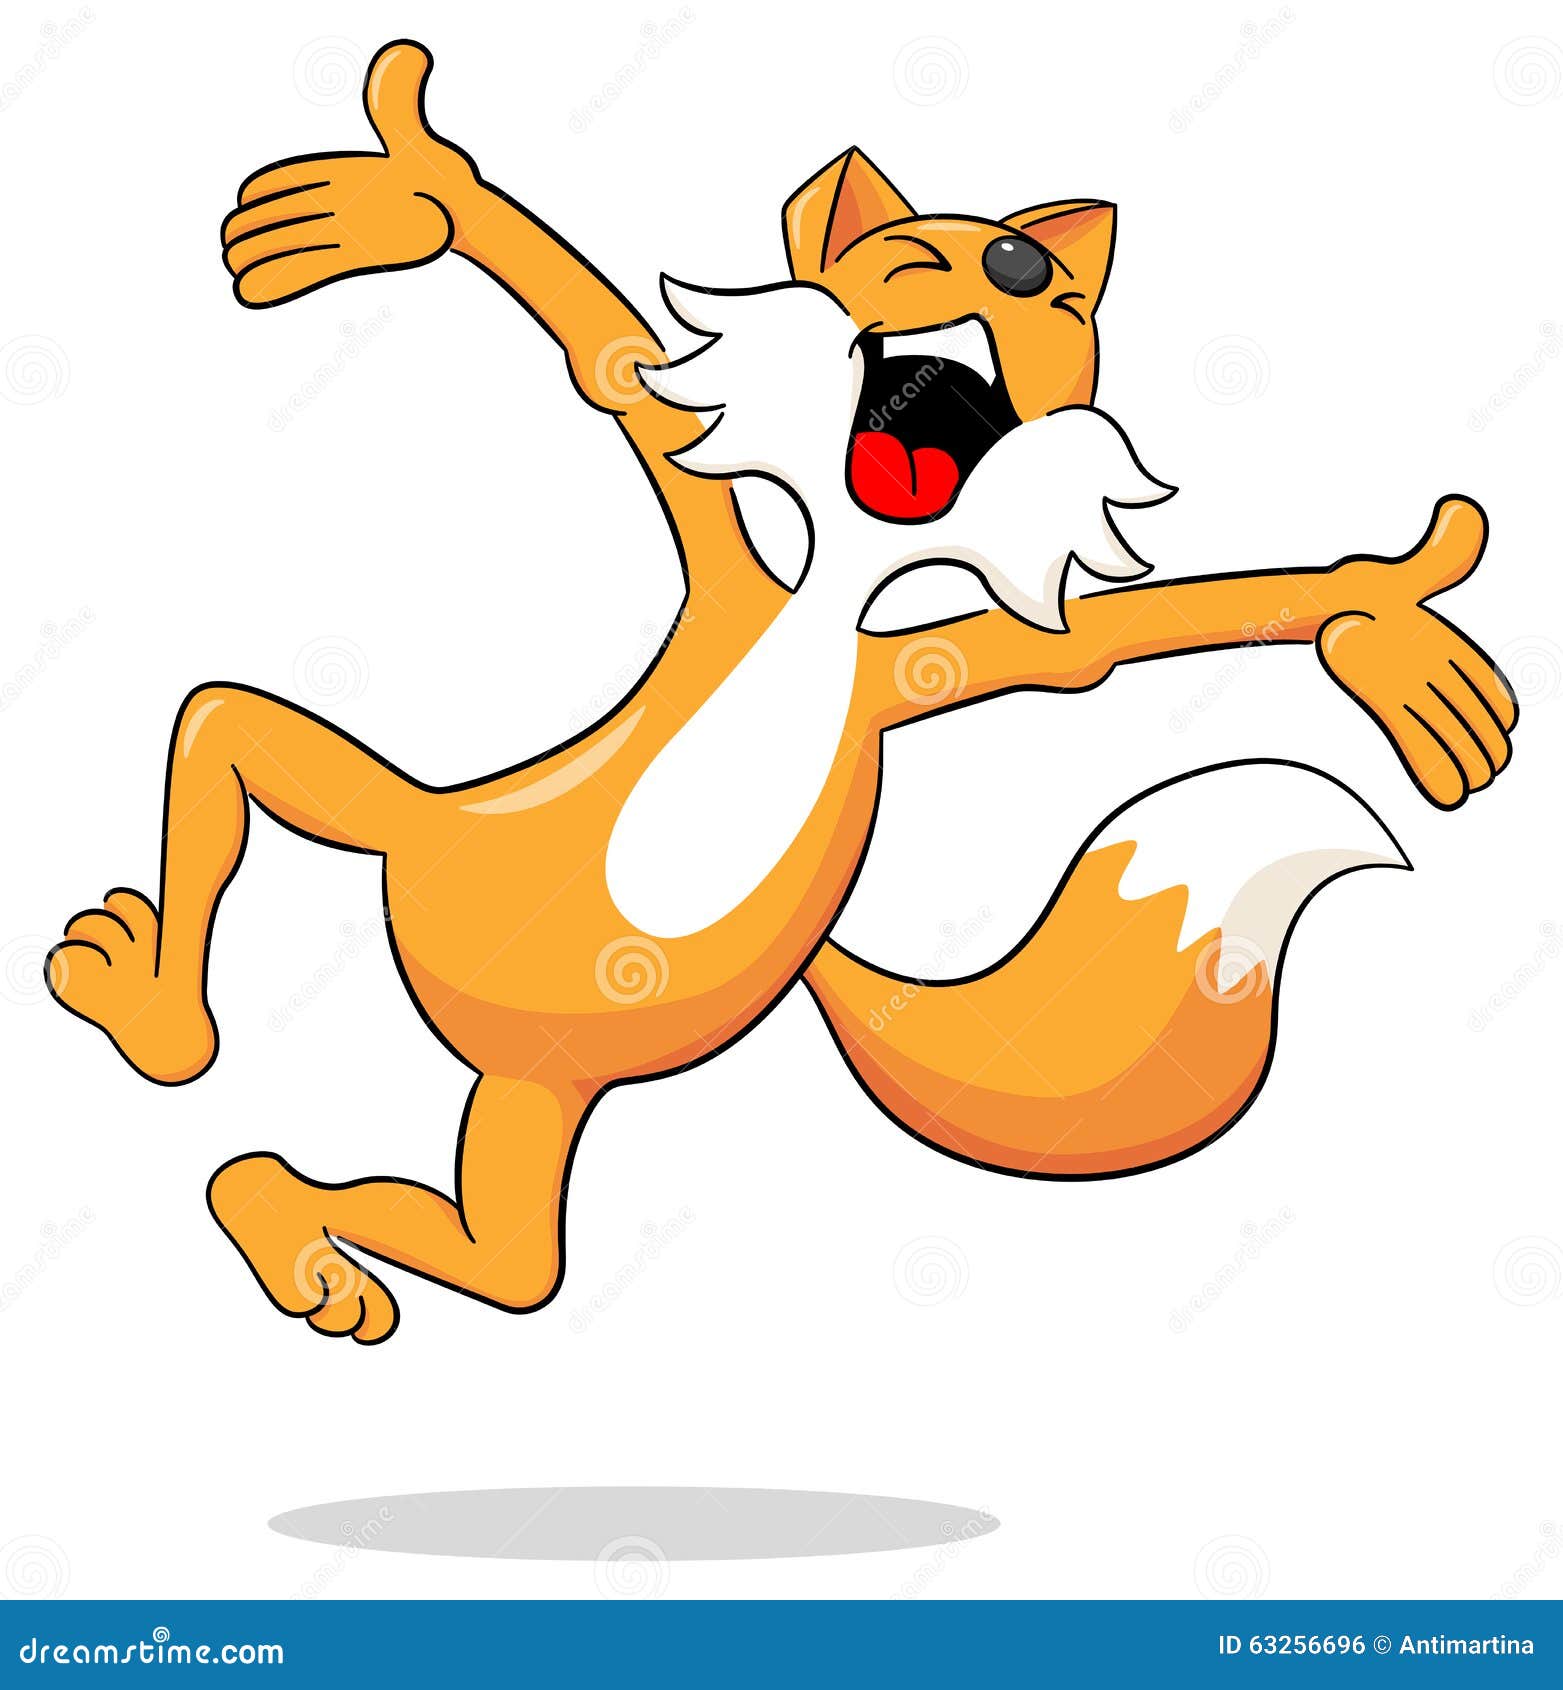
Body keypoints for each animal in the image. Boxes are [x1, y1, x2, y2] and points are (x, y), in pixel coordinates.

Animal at [45, 41, 1517, 1344]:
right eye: (915, 253)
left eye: (1035, 284)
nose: (1006, 263)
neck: (825, 611)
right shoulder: (728, 559)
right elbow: (609, 362)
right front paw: (419, 198)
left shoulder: (942, 664)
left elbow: (1116, 638)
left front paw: (1369, 621)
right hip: (416, 835)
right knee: (224, 730)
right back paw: (163, 1029)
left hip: (534, 1084)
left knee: (504, 1260)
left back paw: (274, 1210)